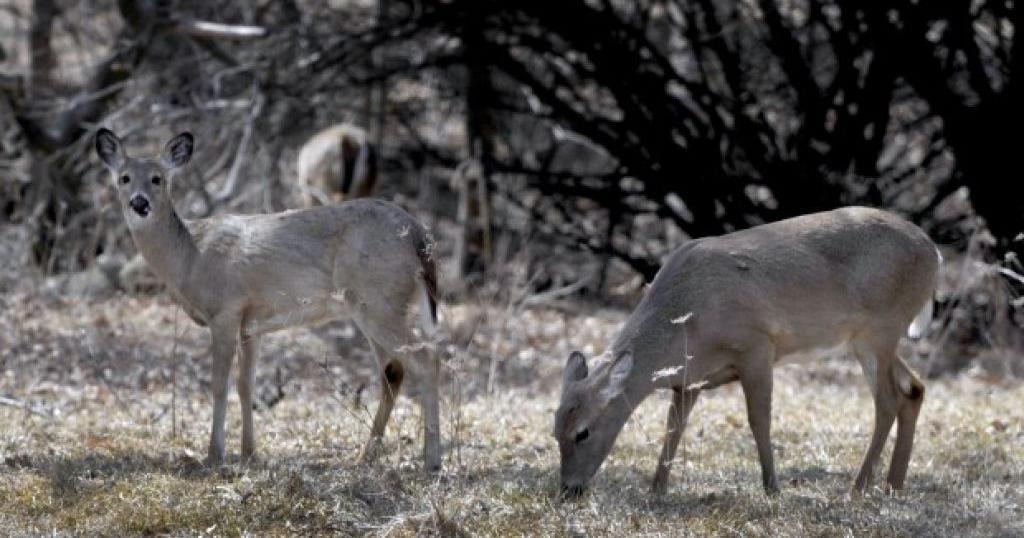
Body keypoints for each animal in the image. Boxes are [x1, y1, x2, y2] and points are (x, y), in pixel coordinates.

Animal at [94, 128, 442, 471]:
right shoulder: (252, 323)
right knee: (393, 372)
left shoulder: (225, 310)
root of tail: (418, 235)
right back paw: (364, 456)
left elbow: (219, 384)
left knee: (425, 360)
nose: (139, 203)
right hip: (372, 305)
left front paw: (214, 455)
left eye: (157, 178)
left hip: (379, 299)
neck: (191, 256)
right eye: (124, 178)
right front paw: (249, 453)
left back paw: (432, 461)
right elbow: (245, 384)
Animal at [554, 207, 939, 498]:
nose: (568, 490)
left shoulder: (757, 346)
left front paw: (772, 488)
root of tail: (933, 251)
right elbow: (674, 428)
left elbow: (759, 421)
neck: (687, 316)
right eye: (555, 431)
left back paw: (858, 487)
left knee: (888, 400)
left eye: (582, 432)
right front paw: (657, 489)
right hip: (867, 339)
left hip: (880, 329)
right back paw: (892, 485)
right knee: (913, 388)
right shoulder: (689, 379)